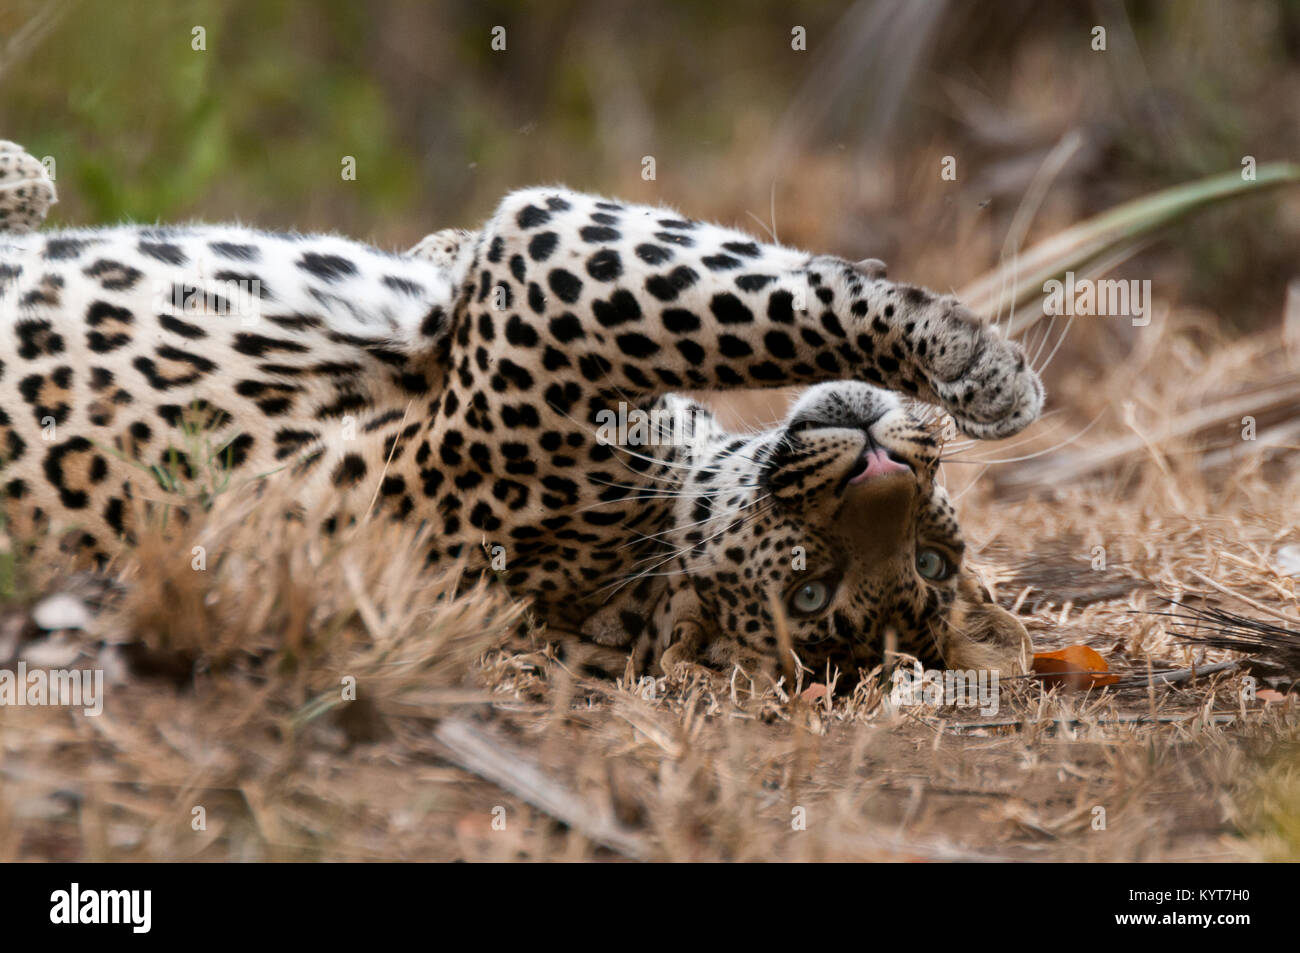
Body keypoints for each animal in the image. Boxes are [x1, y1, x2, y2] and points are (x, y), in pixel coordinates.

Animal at [0, 140, 1042, 682]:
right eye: (938, 556)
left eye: (811, 591)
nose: (881, 463)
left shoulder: (544, 286)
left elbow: (768, 305)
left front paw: (976, 365)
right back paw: (23, 176)